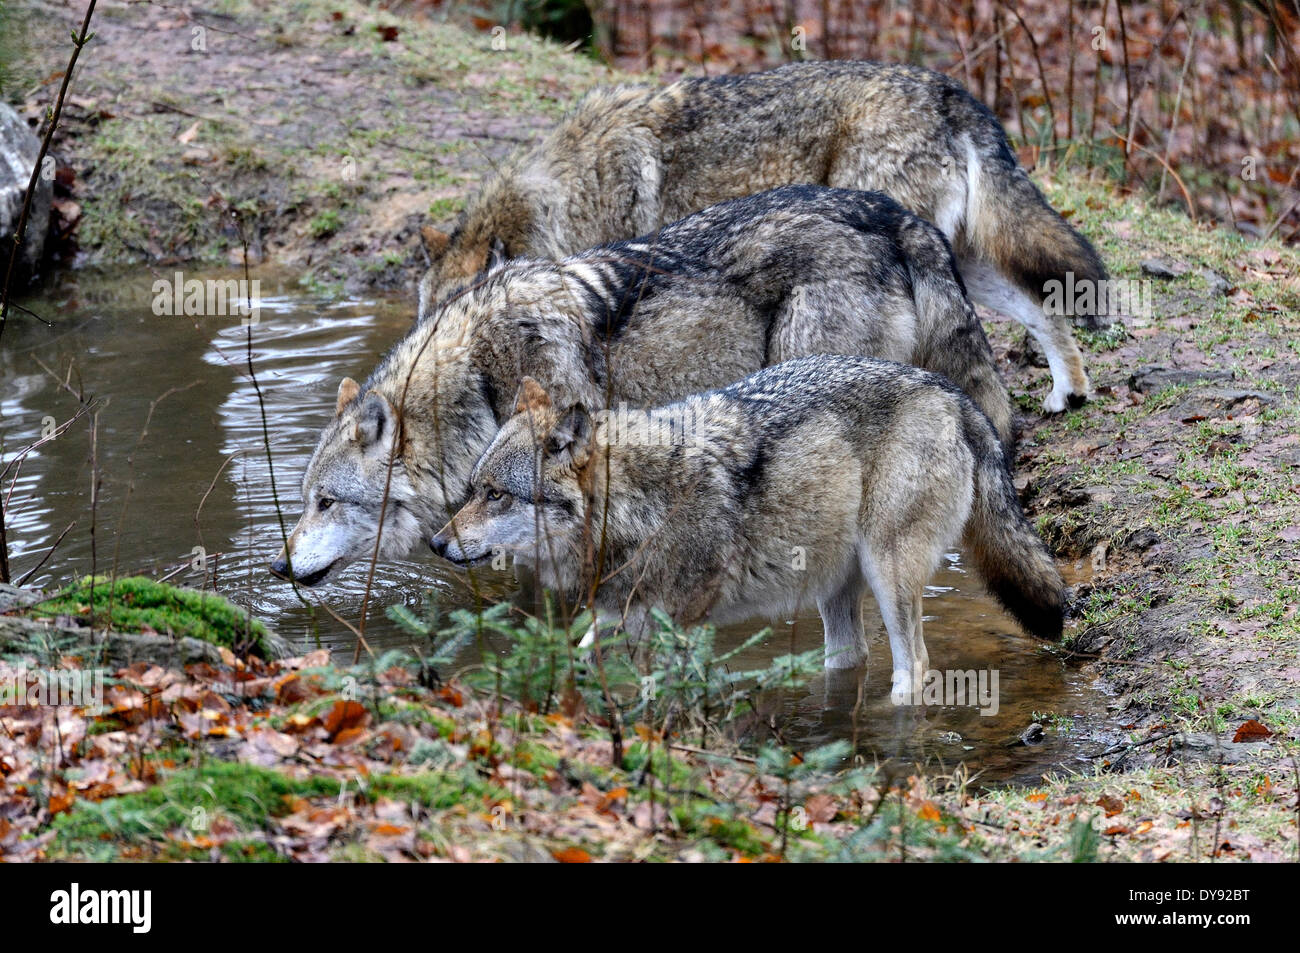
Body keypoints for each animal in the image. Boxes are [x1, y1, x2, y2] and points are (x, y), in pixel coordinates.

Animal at [418, 60, 1109, 414]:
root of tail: (950, 90)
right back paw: (1068, 393)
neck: (559, 195)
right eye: (426, 318)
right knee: (1044, 307)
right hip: (964, 259)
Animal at [430, 356, 1064, 698]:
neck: (640, 506)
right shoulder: (618, 618)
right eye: (474, 489)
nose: (437, 543)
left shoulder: (680, 630)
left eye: (495, 495)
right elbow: (580, 654)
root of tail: (953, 395)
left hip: (889, 576)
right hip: (835, 593)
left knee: (916, 668)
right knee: (851, 659)